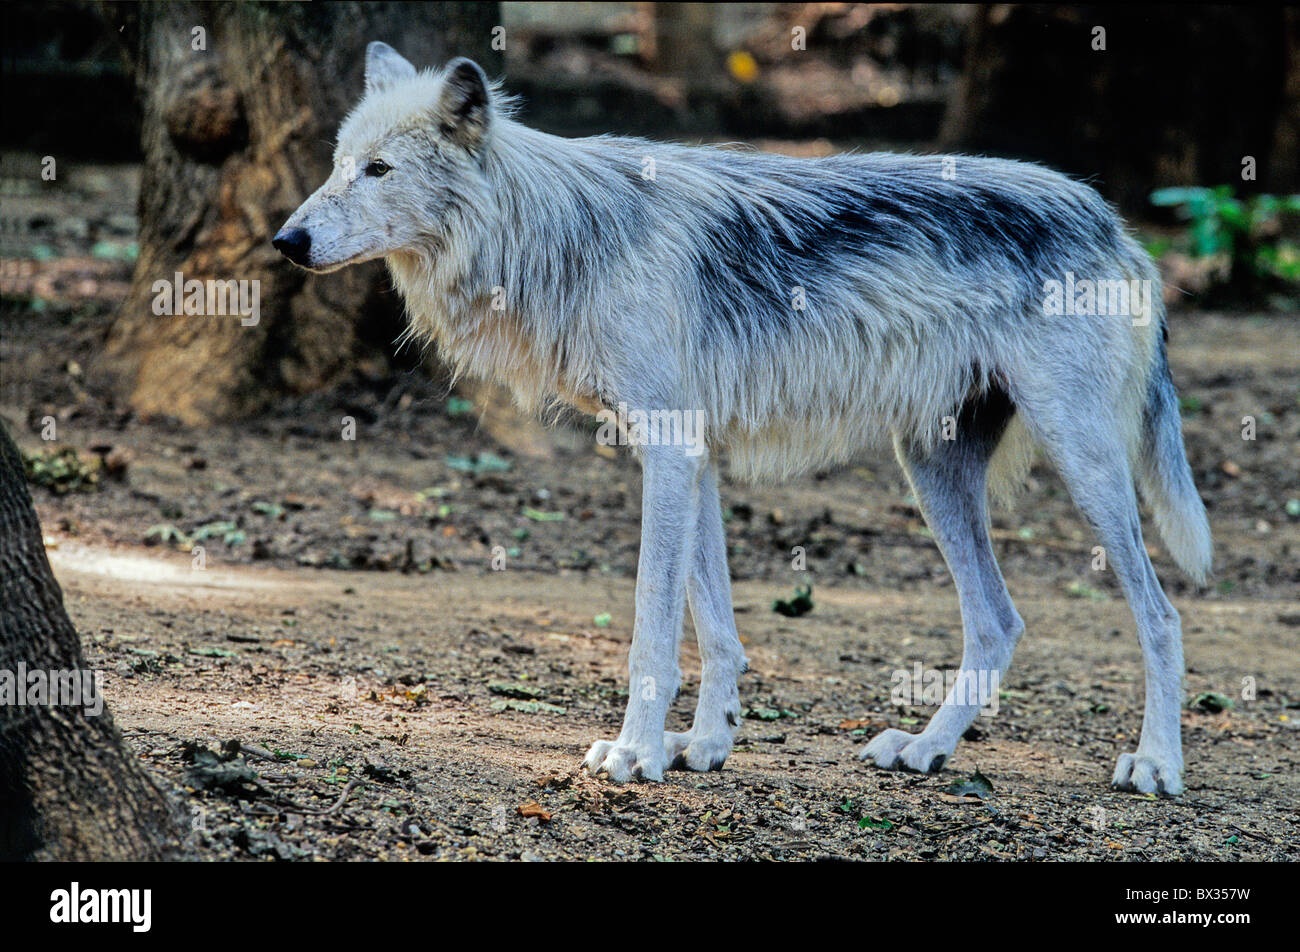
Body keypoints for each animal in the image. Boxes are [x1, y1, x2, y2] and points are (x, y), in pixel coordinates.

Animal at [275, 43, 1211, 795]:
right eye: (337, 163)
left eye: (379, 171)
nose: (286, 241)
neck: (559, 235)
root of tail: (1118, 226)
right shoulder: (693, 458)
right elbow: (716, 627)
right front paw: (702, 744)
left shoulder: (669, 452)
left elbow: (653, 628)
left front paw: (633, 755)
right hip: (933, 470)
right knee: (999, 622)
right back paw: (925, 749)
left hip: (1083, 462)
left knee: (1162, 616)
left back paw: (1156, 765)